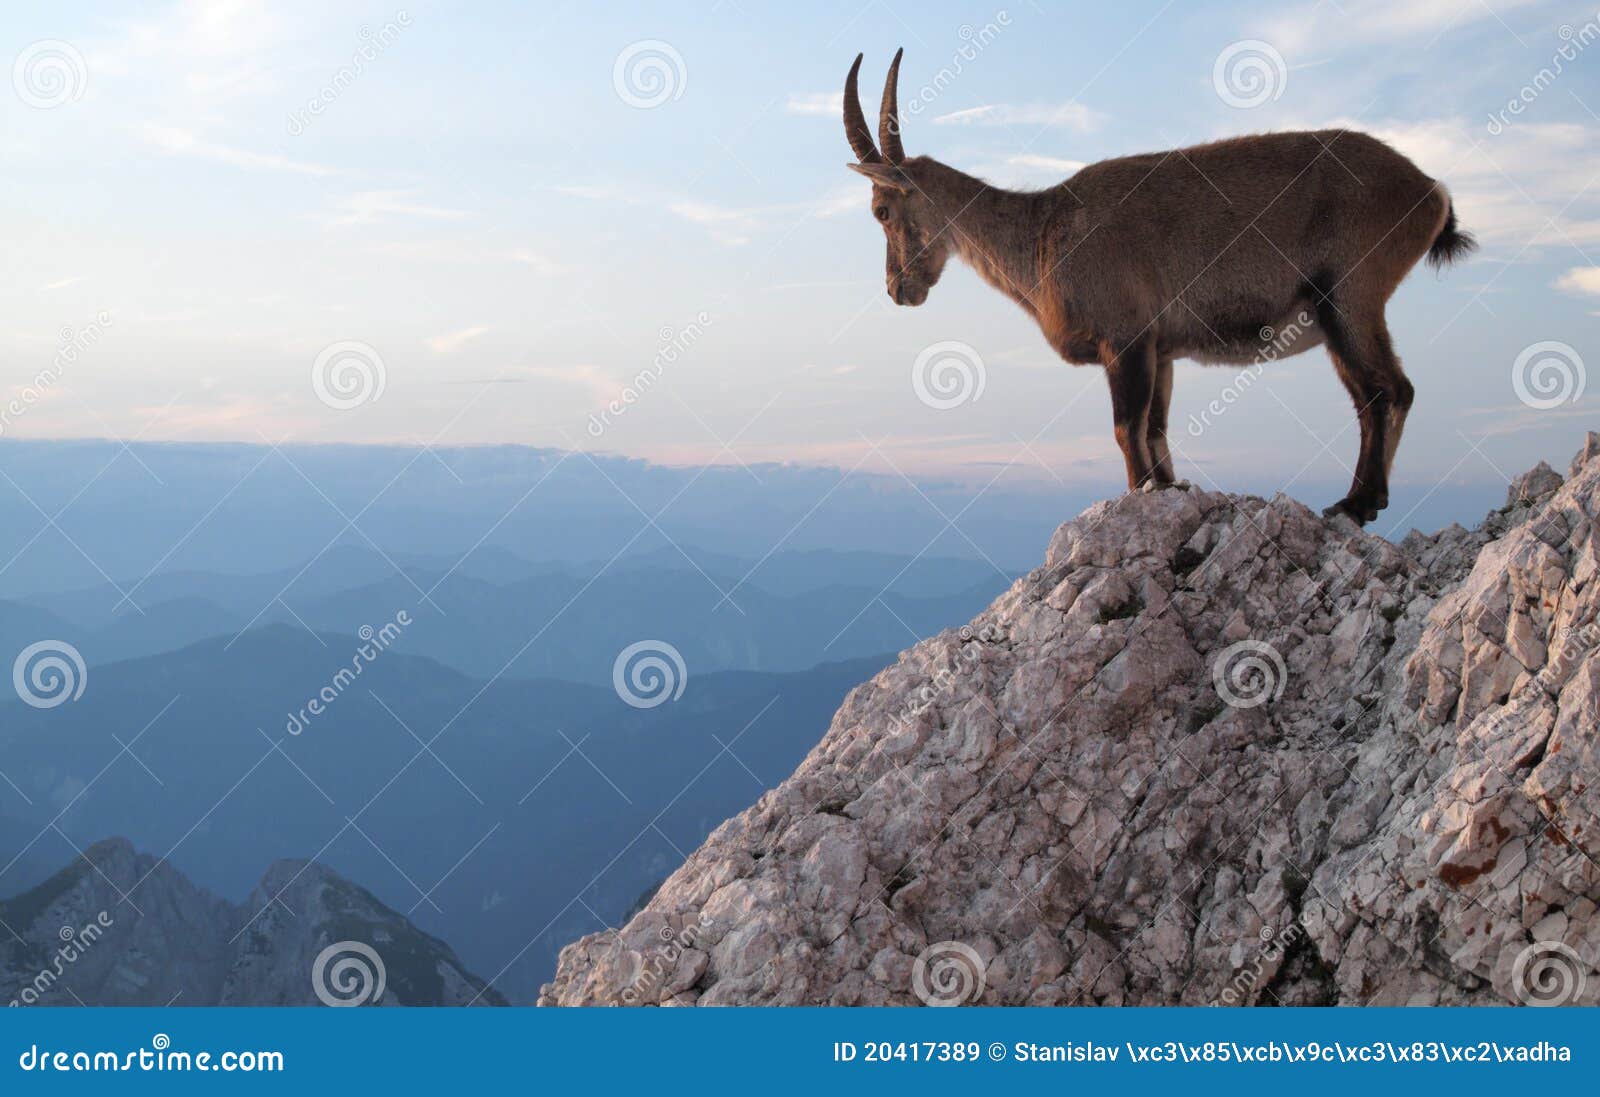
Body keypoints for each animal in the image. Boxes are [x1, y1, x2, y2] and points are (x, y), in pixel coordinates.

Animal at [843, 50, 1475, 524]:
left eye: (880, 211)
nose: (899, 289)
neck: (1042, 235)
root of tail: (1431, 191)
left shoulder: (1125, 341)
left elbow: (1126, 430)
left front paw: (1139, 499)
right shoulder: (1161, 350)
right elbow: (1157, 431)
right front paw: (1171, 492)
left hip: (1349, 296)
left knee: (1389, 389)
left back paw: (1358, 504)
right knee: (1374, 394)